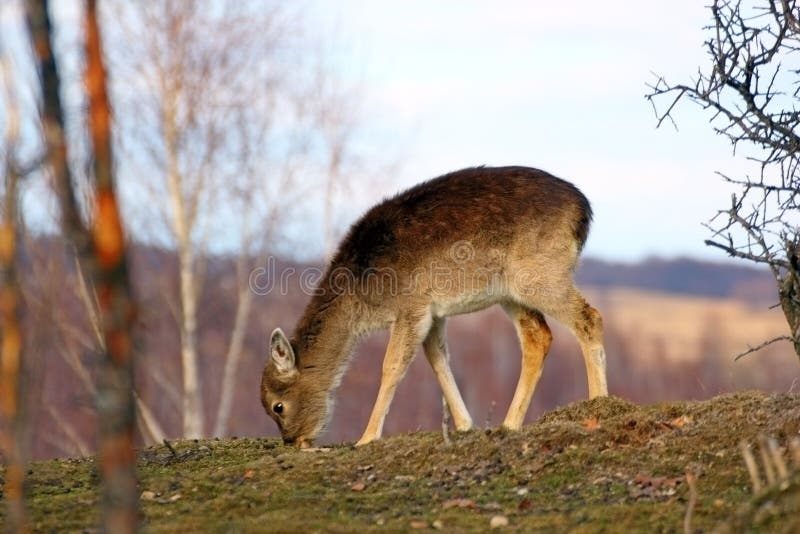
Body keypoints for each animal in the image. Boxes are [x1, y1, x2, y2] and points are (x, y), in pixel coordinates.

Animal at [261, 166, 608, 448]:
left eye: (278, 406)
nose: (293, 441)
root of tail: (585, 210)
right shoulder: (433, 312)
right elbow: (438, 359)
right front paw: (465, 424)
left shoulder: (410, 307)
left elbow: (391, 367)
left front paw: (366, 437)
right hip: (510, 292)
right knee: (538, 336)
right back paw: (509, 424)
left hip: (539, 274)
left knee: (589, 317)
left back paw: (599, 404)